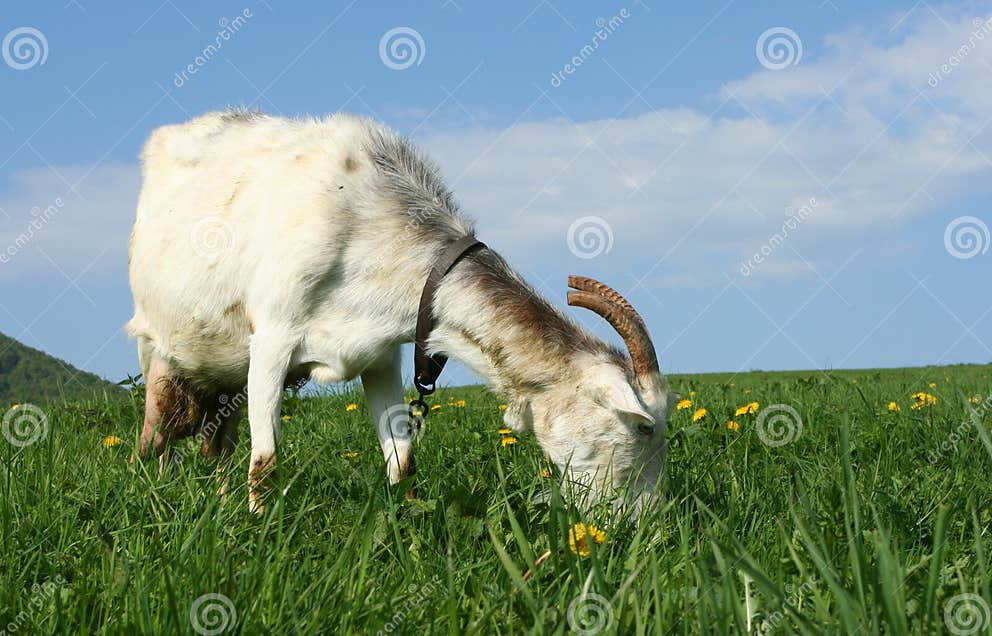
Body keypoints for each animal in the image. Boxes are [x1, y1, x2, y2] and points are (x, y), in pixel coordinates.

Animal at [127, 109, 673, 513]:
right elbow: (265, 463)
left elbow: (402, 460)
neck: (367, 224)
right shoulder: (272, 341)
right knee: (154, 443)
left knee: (216, 446)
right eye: (644, 426)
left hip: (224, 377)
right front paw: (261, 530)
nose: (647, 523)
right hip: (157, 354)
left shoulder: (379, 355)